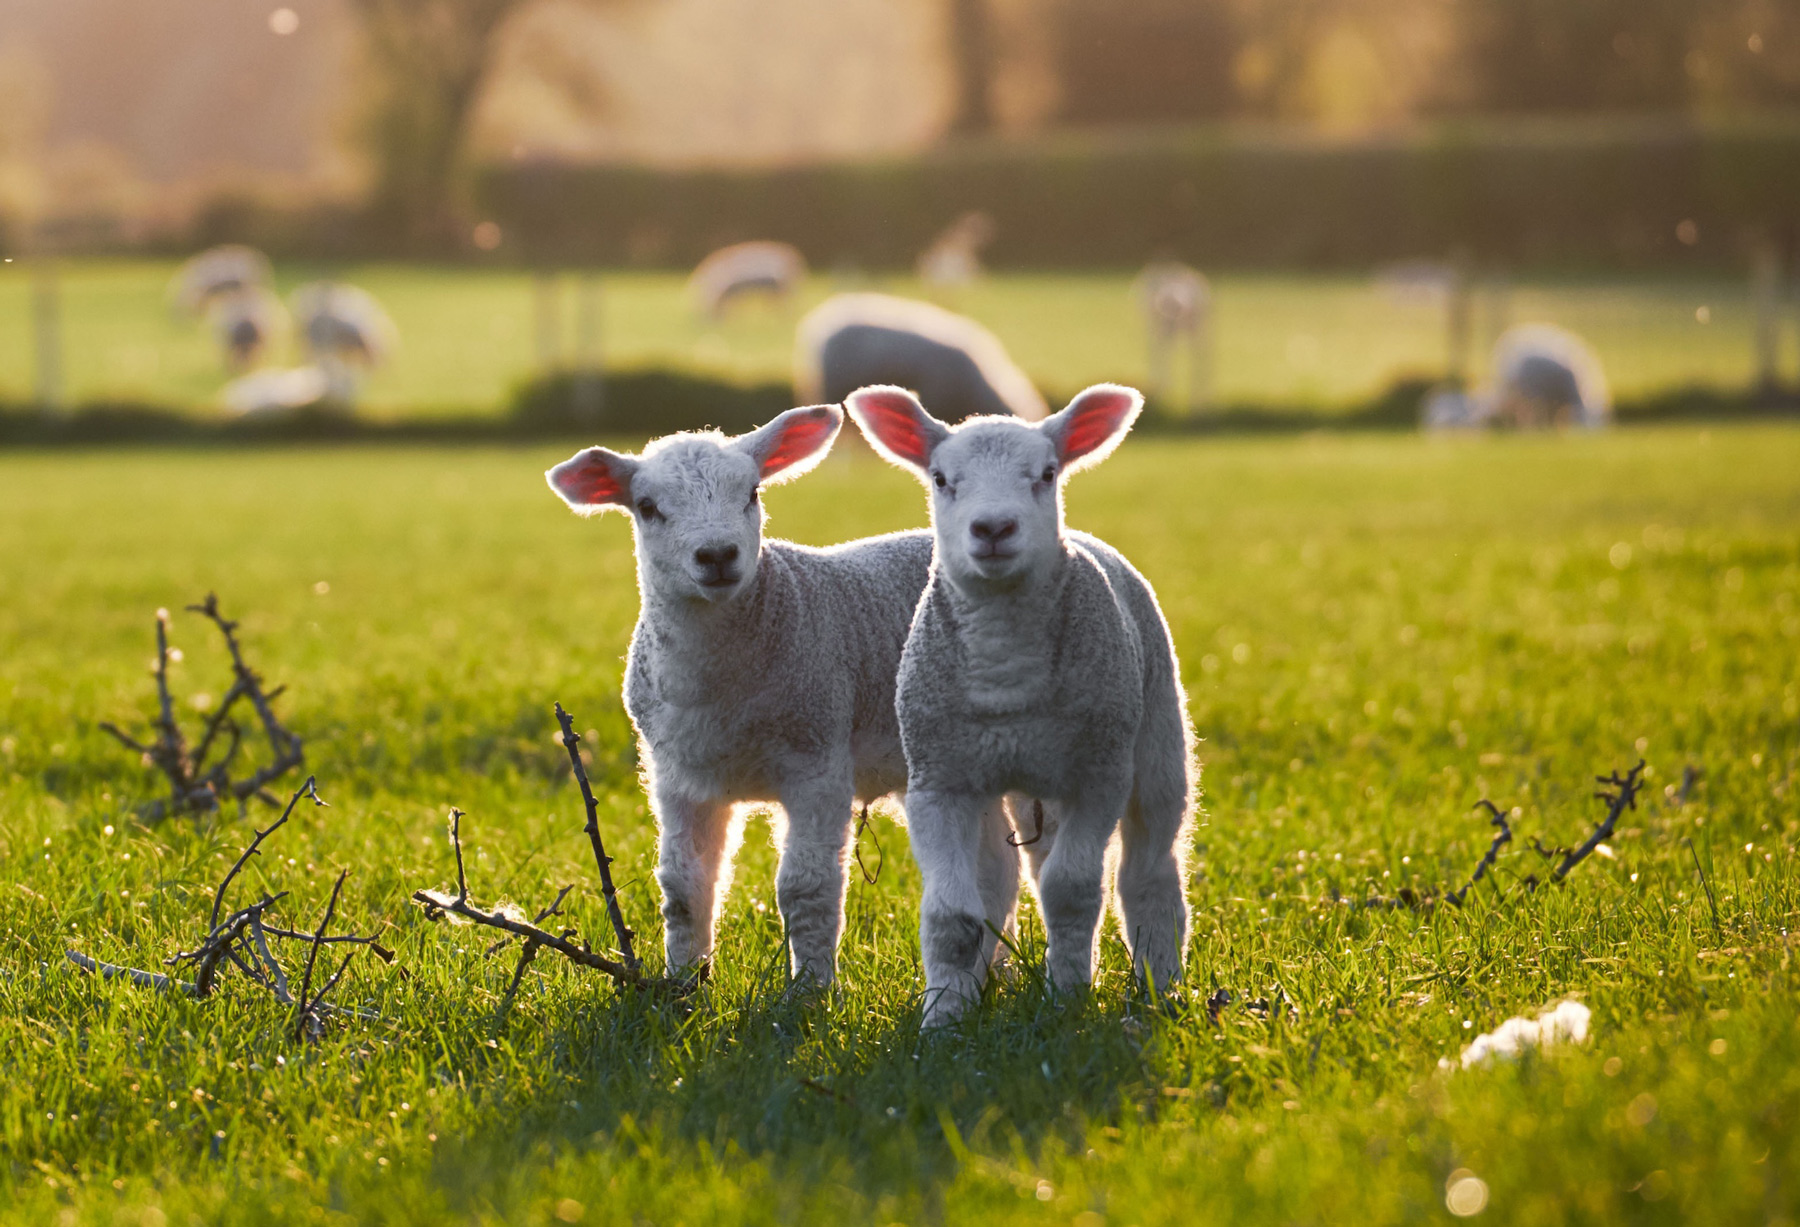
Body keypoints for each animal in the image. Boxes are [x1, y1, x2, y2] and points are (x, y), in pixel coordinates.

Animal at [545, 406, 935, 987]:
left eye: (752, 492)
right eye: (647, 507)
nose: (717, 555)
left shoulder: (818, 758)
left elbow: (806, 889)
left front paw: (811, 993)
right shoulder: (678, 778)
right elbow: (683, 888)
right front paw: (683, 984)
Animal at [846, 383, 1195, 1025]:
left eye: (1047, 473)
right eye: (940, 478)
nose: (993, 528)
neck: (1006, 677)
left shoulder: (1098, 774)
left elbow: (1072, 893)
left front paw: (1067, 1004)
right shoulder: (939, 781)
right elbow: (952, 915)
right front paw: (943, 1021)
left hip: (1155, 738)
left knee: (1149, 873)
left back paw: (1161, 987)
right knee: (1006, 874)